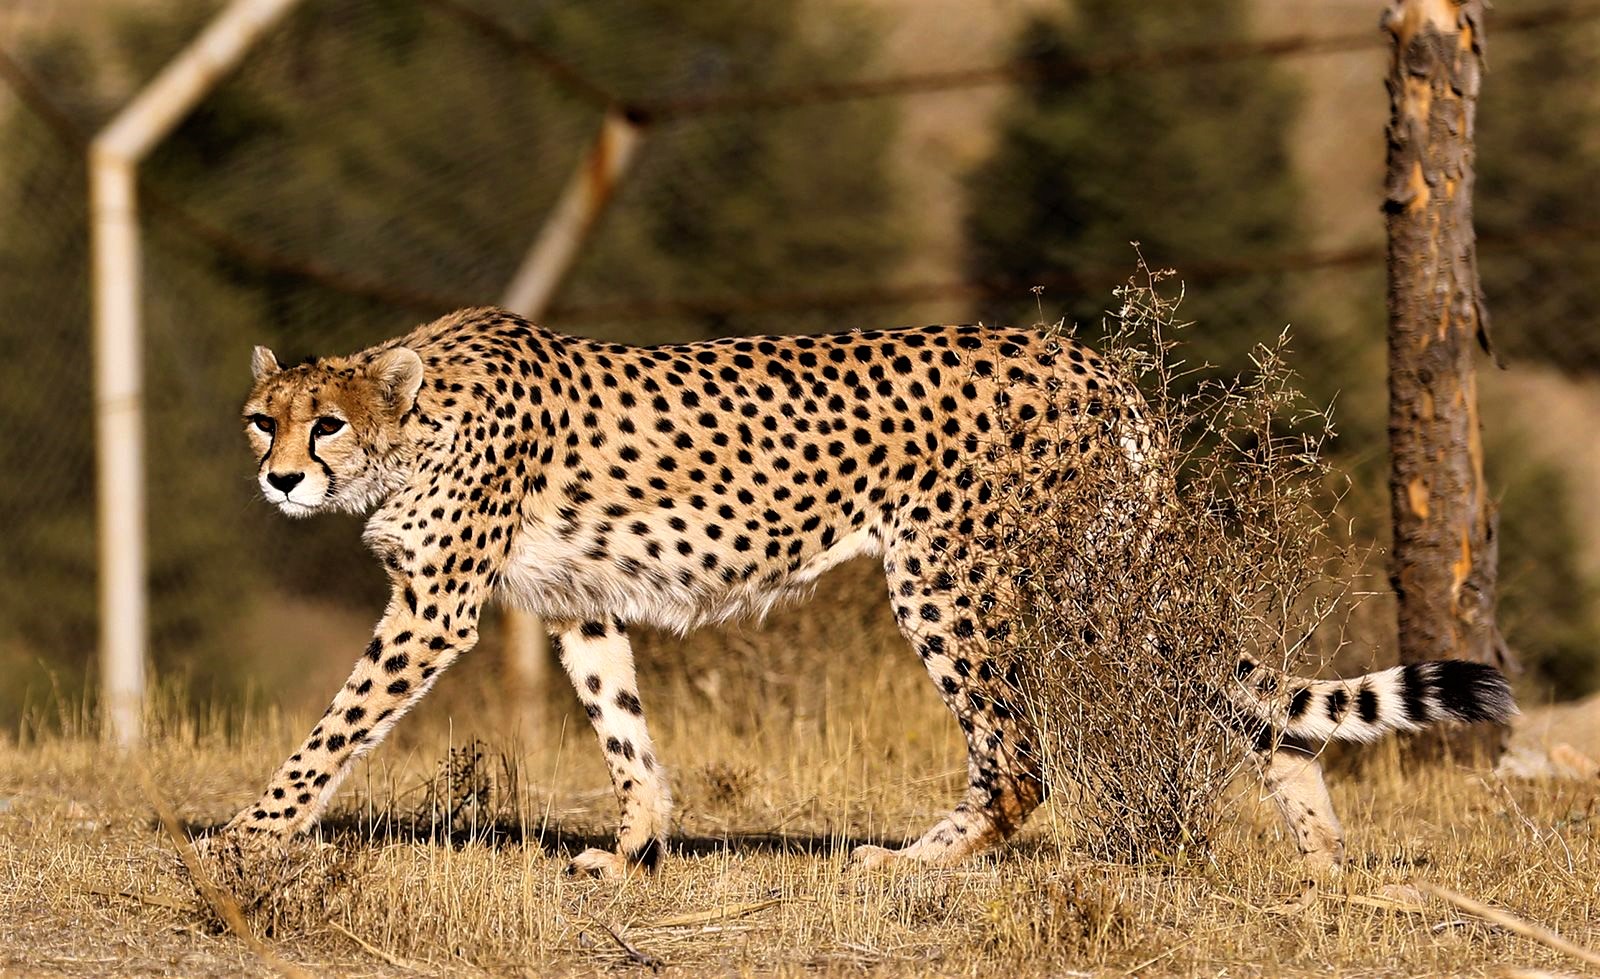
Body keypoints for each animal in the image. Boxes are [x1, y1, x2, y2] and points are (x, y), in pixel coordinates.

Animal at [230, 306, 1515, 877]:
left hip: (961, 573)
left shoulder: (436, 607)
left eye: (325, 422)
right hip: (1093, 576)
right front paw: (632, 845)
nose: (279, 477)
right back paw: (1321, 859)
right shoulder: (579, 601)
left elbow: (336, 727)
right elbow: (624, 729)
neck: (415, 417)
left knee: (1022, 755)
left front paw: (244, 833)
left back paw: (915, 860)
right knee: (1251, 706)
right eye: (261, 417)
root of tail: (1085, 355)